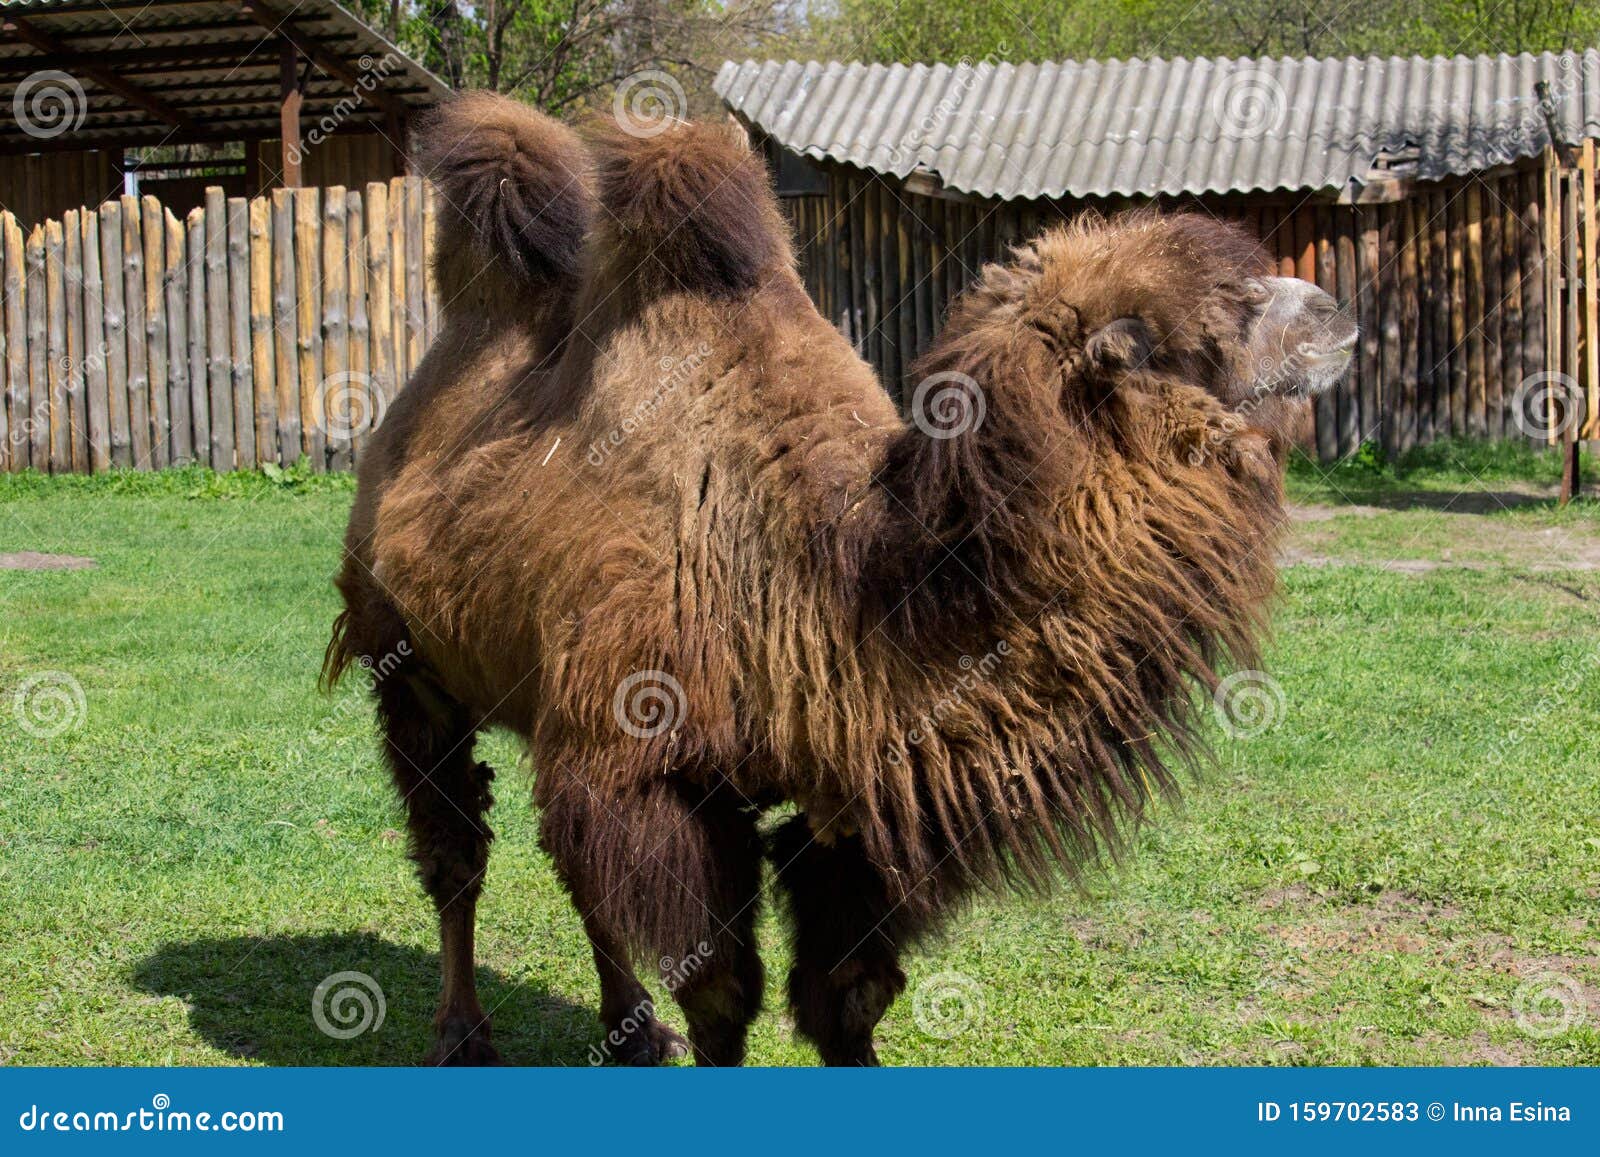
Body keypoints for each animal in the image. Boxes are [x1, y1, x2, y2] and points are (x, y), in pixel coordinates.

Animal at [324, 93, 1356, 1066]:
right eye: (1214, 323)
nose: (1337, 312)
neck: (828, 585)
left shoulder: (853, 801)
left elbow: (850, 993)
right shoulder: (652, 773)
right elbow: (721, 990)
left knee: (566, 864)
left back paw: (631, 1029)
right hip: (407, 664)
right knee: (457, 853)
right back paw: (462, 1034)